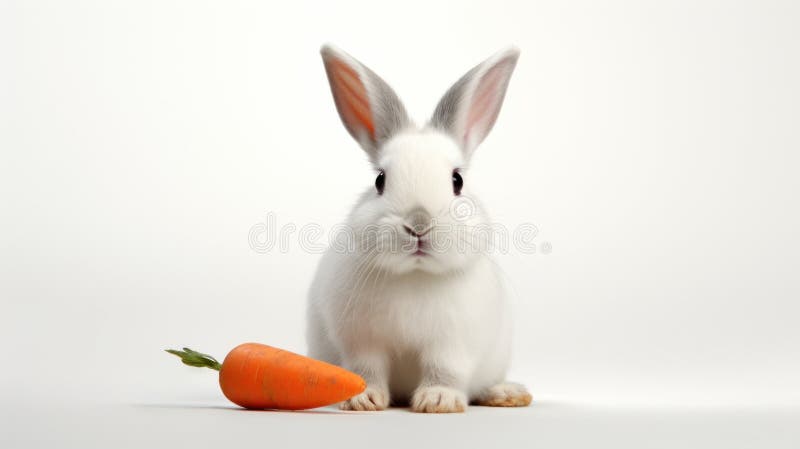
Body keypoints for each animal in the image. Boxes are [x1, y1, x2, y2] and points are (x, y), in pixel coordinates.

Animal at [306, 45, 531, 413]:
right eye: (380, 180)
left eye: (457, 181)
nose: (418, 225)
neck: (415, 274)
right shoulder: (361, 341)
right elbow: (366, 370)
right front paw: (363, 400)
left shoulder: (452, 345)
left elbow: (445, 371)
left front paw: (438, 401)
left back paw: (506, 393)